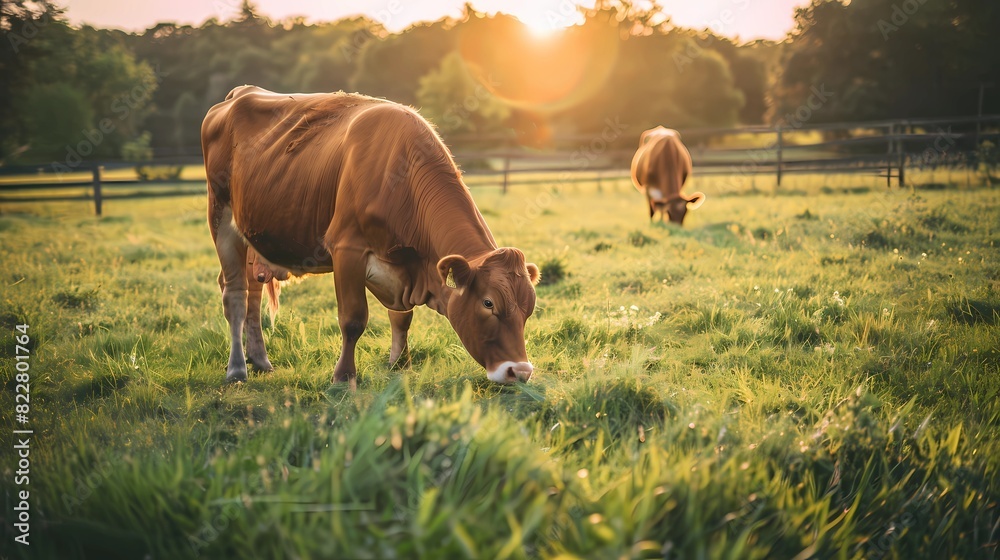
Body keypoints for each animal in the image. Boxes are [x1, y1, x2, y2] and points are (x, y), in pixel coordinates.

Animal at [202, 86, 540, 389]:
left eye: (530, 307)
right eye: (488, 303)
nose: (519, 371)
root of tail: (238, 94)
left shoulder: (404, 268)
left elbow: (402, 318)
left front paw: (400, 363)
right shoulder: (347, 248)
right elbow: (353, 319)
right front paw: (343, 378)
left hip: (254, 238)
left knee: (253, 295)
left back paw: (260, 361)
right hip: (221, 217)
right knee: (235, 294)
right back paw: (237, 370)